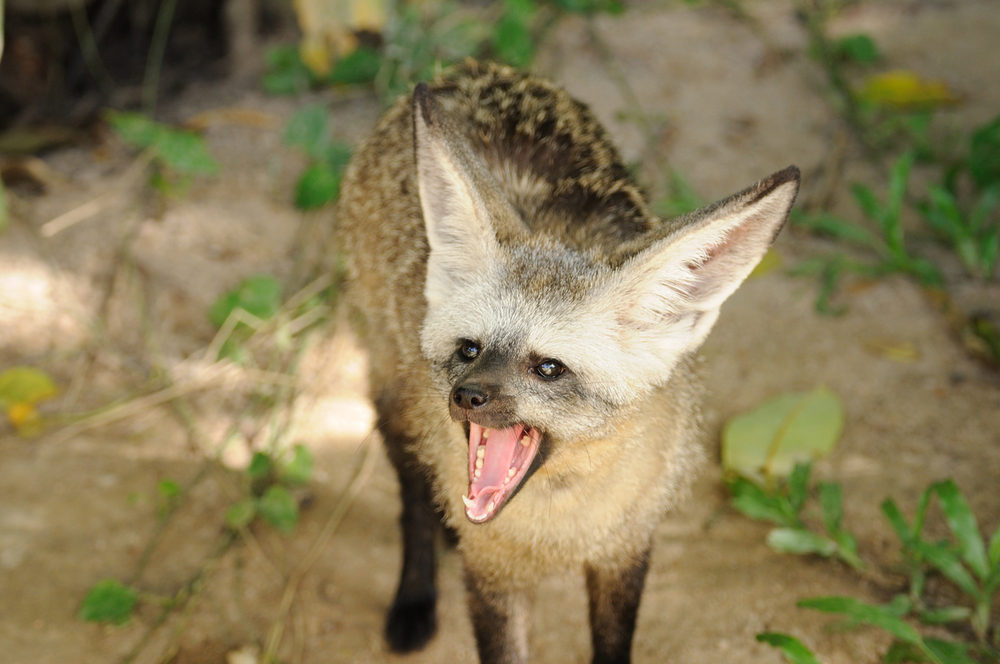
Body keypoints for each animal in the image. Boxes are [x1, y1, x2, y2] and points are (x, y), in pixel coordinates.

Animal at [336, 60, 799, 663]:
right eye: (469, 350)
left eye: (549, 368)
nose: (466, 396)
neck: (557, 525)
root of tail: (466, 66)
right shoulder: (492, 573)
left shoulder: (626, 550)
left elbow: (613, 646)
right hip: (392, 393)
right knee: (412, 496)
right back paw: (416, 590)